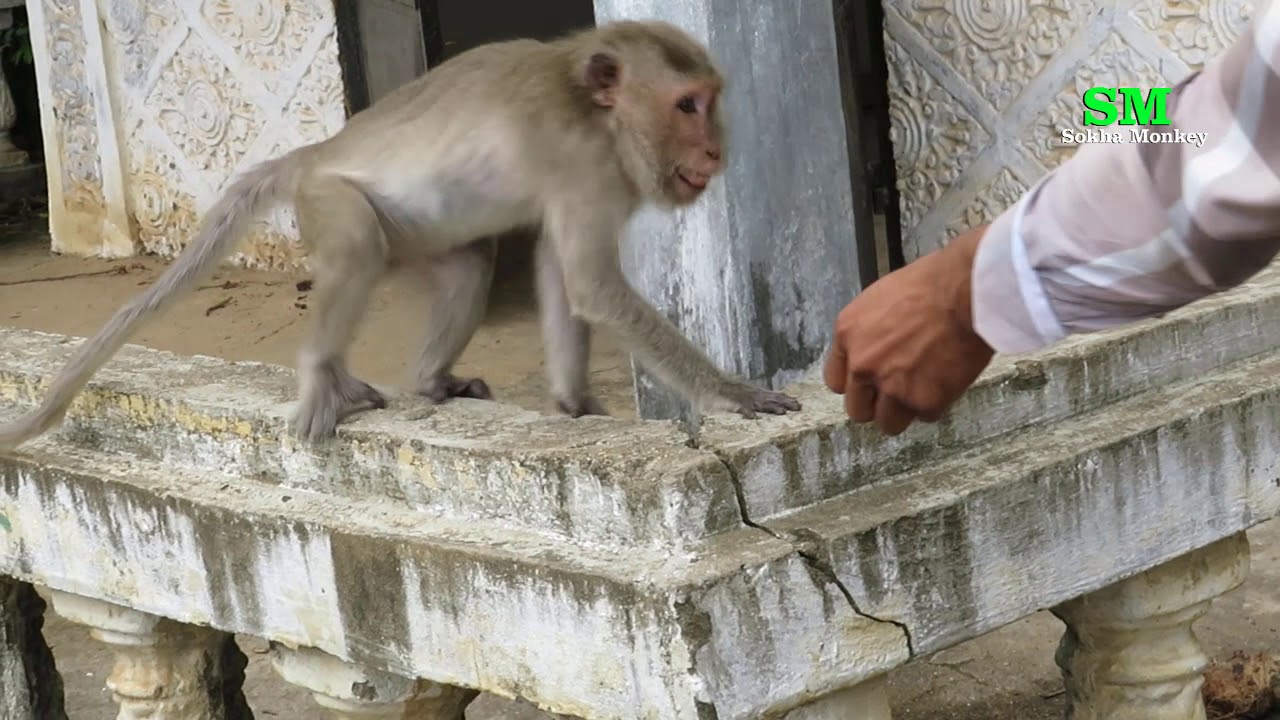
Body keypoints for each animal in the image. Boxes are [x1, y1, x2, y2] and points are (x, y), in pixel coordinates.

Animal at [0, 19, 802, 451]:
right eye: (688, 105)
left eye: (711, 101)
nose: (715, 151)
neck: (596, 114)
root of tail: (313, 153)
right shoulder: (585, 167)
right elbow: (593, 286)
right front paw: (733, 394)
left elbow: (557, 273)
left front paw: (574, 404)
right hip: (328, 203)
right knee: (356, 244)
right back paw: (322, 373)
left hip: (416, 236)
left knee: (470, 262)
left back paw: (430, 379)